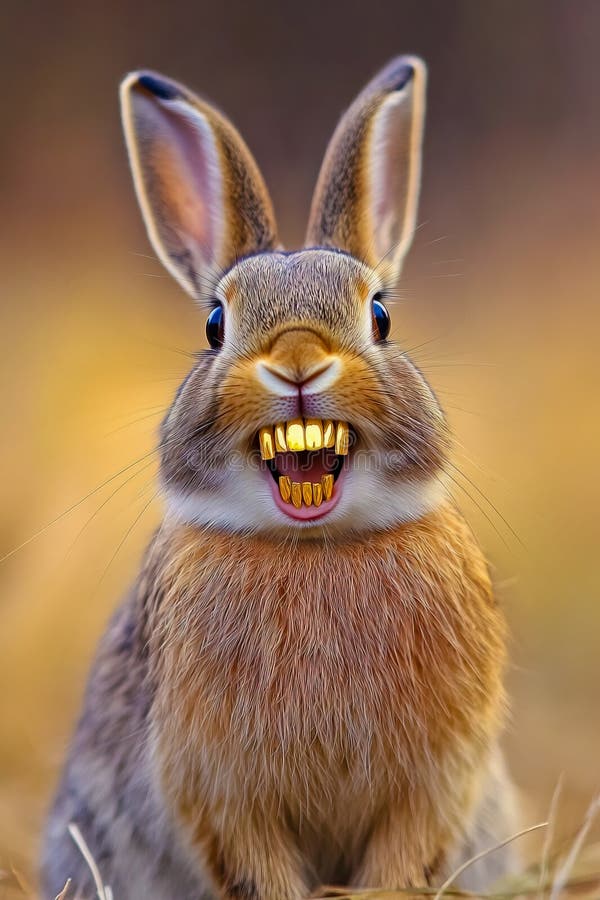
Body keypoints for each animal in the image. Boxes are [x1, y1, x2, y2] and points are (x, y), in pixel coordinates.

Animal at [41, 56, 520, 900]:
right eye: (214, 326)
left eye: (381, 316)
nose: (298, 359)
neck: (316, 546)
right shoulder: (217, 790)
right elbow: (257, 863)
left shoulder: (436, 782)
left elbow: (403, 858)